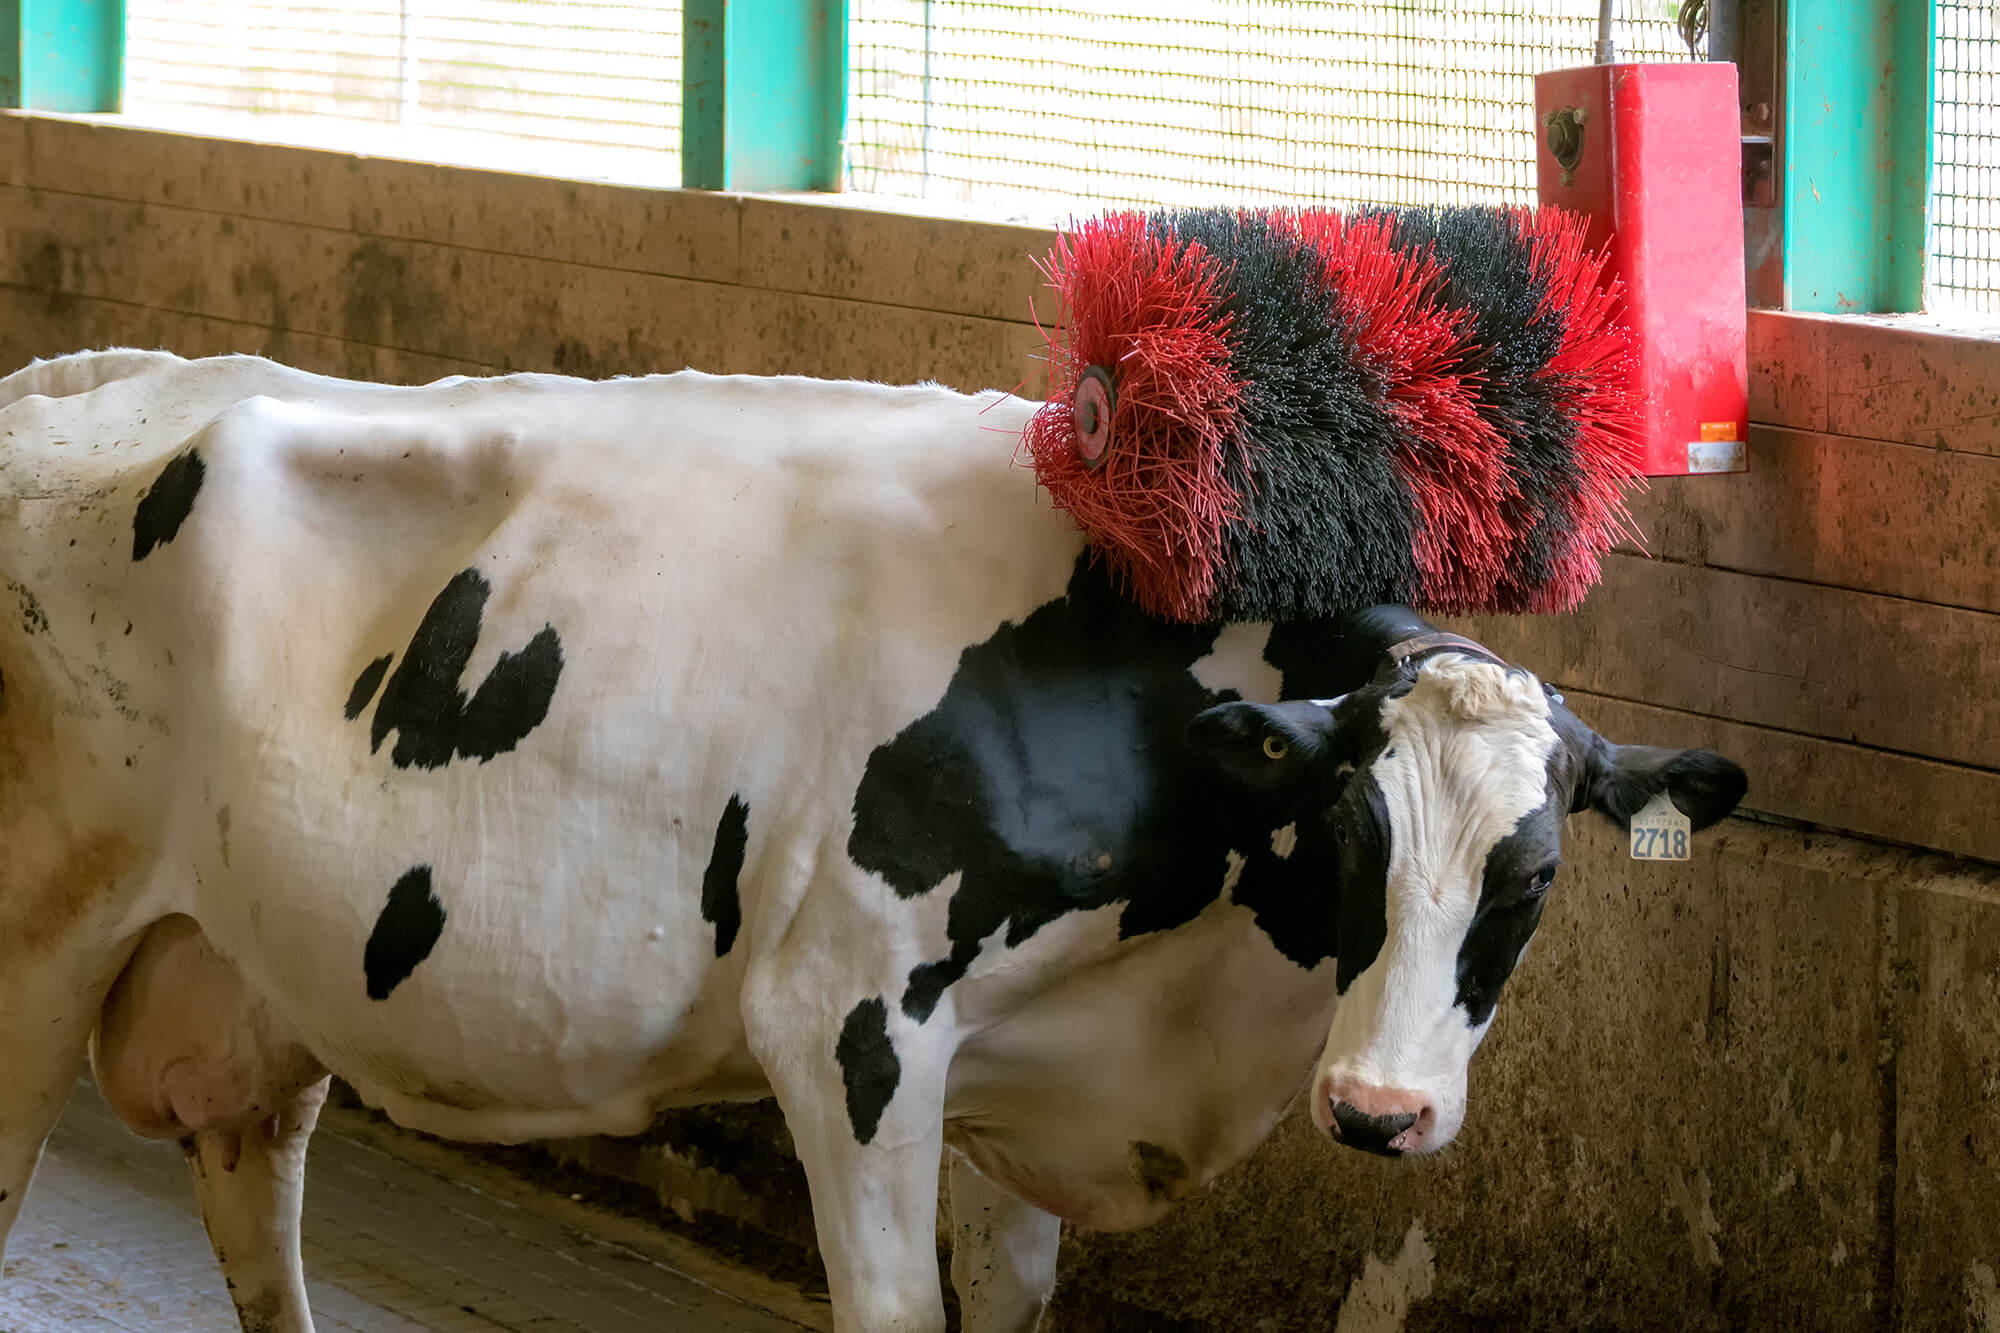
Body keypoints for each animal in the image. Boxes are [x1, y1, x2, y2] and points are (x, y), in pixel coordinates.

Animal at [0, 349, 1746, 1333]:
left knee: (255, 1212)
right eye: (1343, 835)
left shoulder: (1018, 1076)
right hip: (36, 941)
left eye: (1533, 877)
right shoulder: (847, 1020)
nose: (1382, 1112)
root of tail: (75, 381)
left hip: (245, 980)